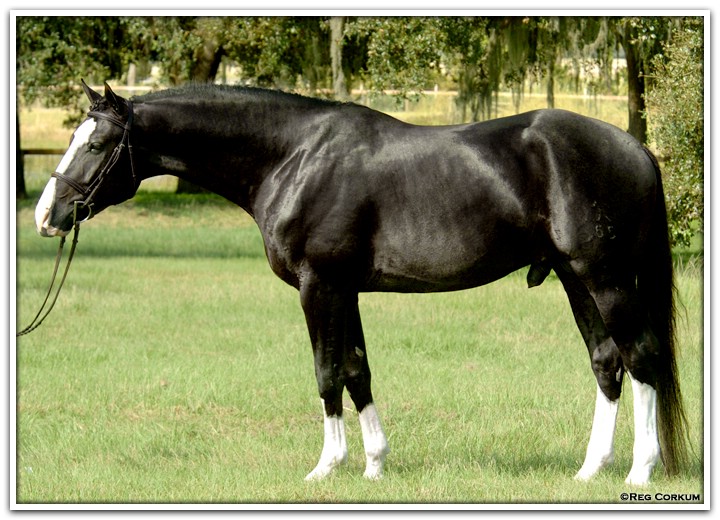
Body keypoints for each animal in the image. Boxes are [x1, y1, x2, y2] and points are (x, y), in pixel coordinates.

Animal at [33, 81, 687, 485]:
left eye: (96, 143)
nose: (47, 215)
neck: (292, 158)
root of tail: (635, 147)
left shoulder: (319, 285)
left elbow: (327, 371)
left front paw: (327, 466)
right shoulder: (345, 289)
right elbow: (356, 369)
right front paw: (373, 464)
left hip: (605, 278)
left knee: (642, 357)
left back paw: (640, 469)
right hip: (576, 278)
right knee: (607, 360)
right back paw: (589, 469)